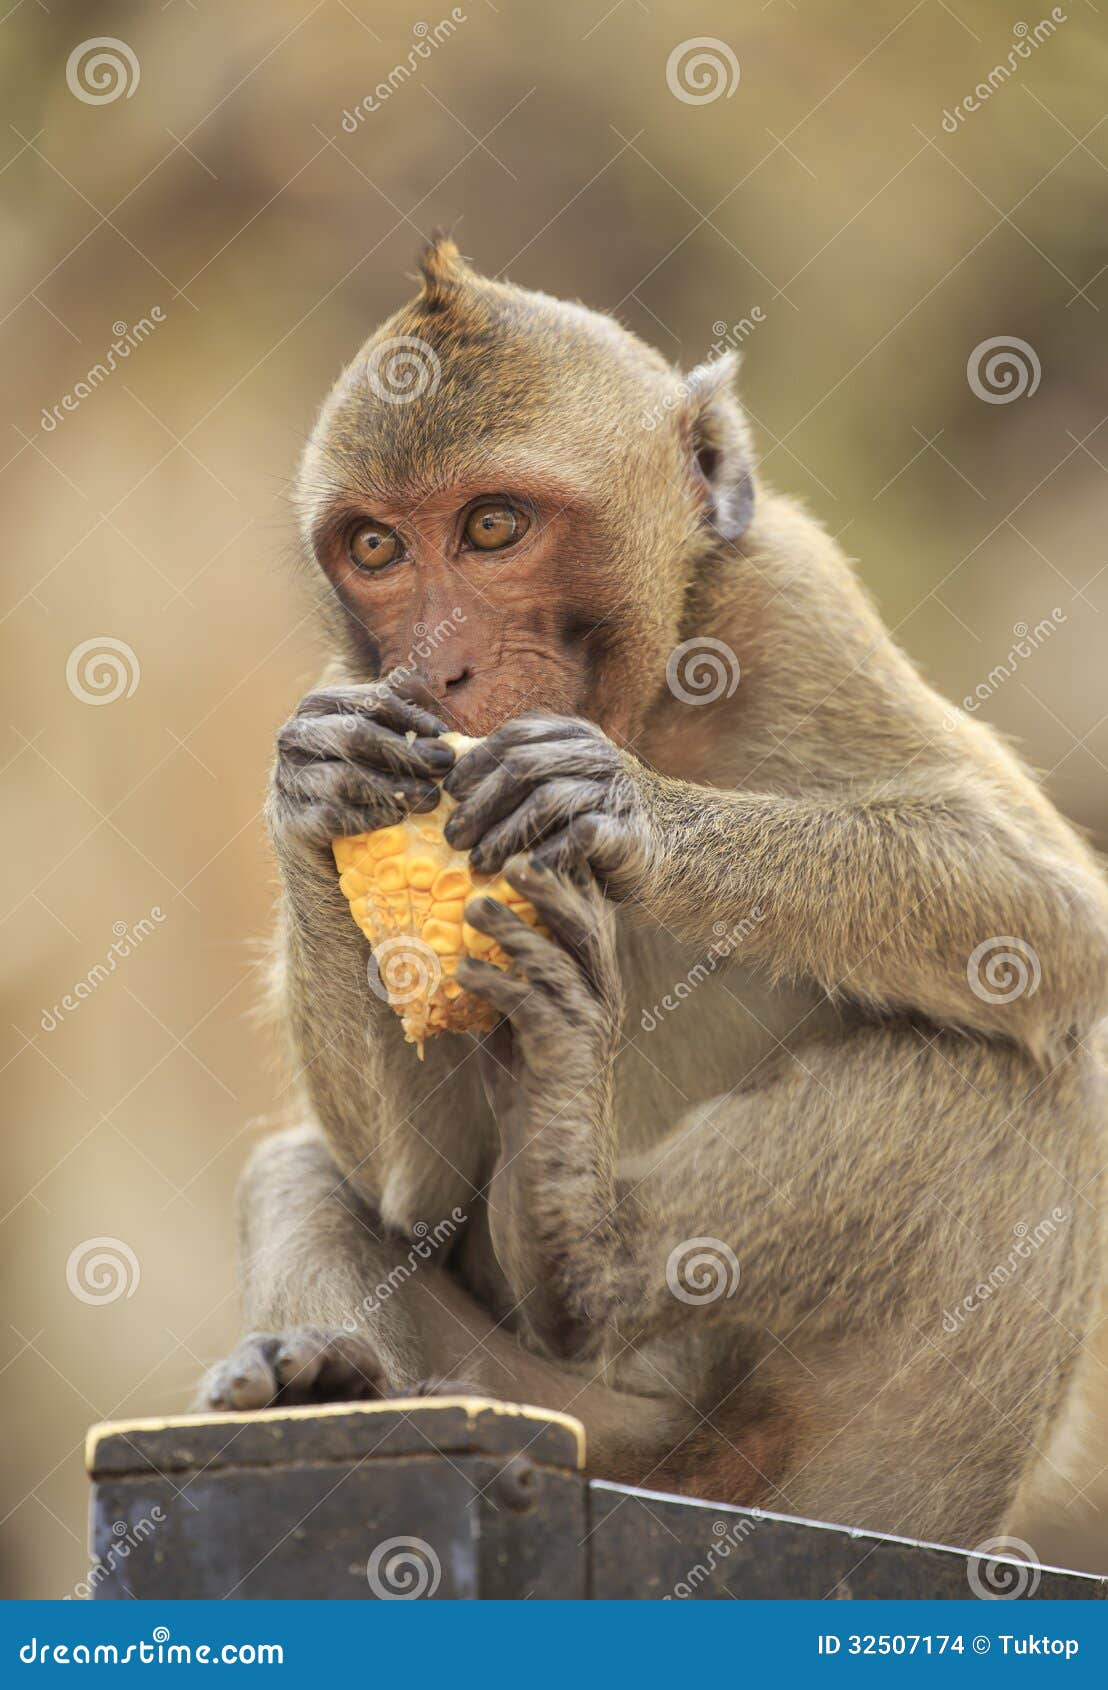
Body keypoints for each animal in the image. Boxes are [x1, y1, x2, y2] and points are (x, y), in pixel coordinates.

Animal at [199, 236, 1108, 1551]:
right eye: (376, 550)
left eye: (491, 526)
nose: (441, 666)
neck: (641, 707)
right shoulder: (360, 681)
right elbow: (411, 1188)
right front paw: (312, 786)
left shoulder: (791, 596)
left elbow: (1051, 916)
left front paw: (616, 805)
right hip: (565, 1414)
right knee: (300, 1172)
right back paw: (325, 1375)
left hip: (839, 1461)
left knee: (1022, 1077)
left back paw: (584, 1248)